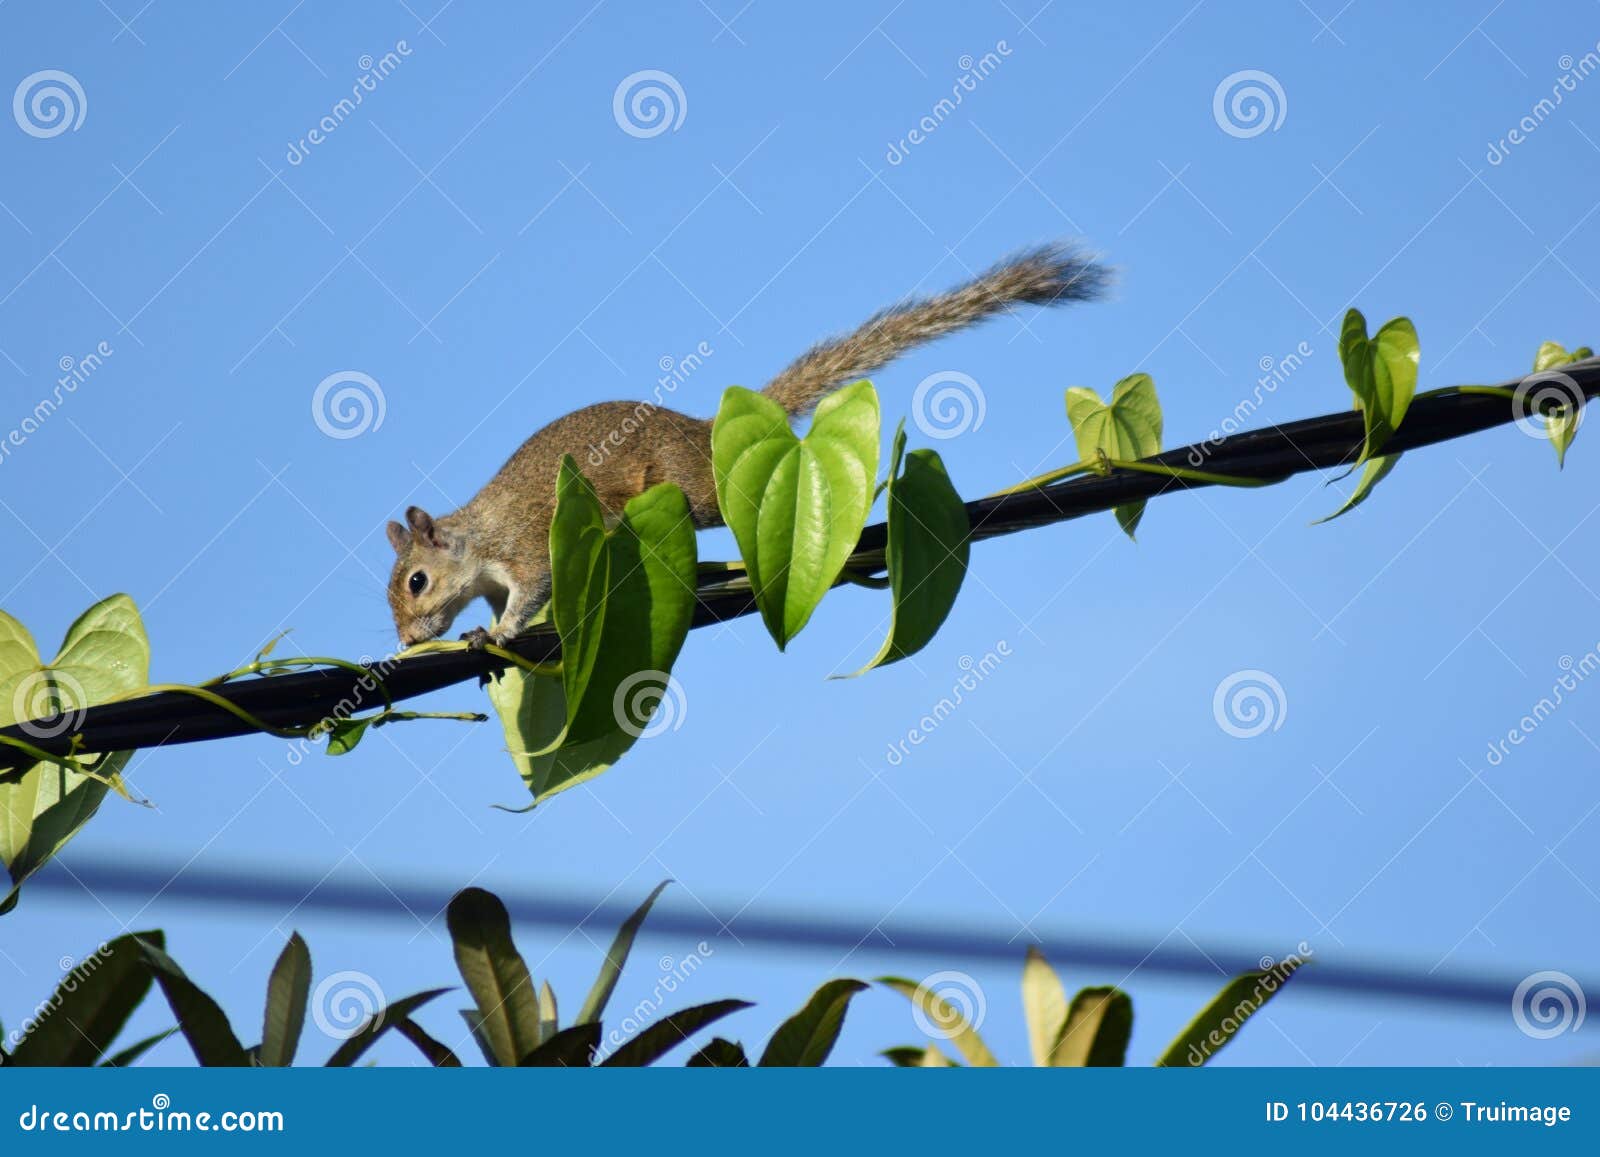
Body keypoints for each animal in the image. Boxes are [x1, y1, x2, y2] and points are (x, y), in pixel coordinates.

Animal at [386, 242, 1109, 648]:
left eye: (417, 582)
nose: (407, 641)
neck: (478, 540)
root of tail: (702, 431)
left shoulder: (528, 546)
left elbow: (531, 591)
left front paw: (498, 634)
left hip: (690, 488)